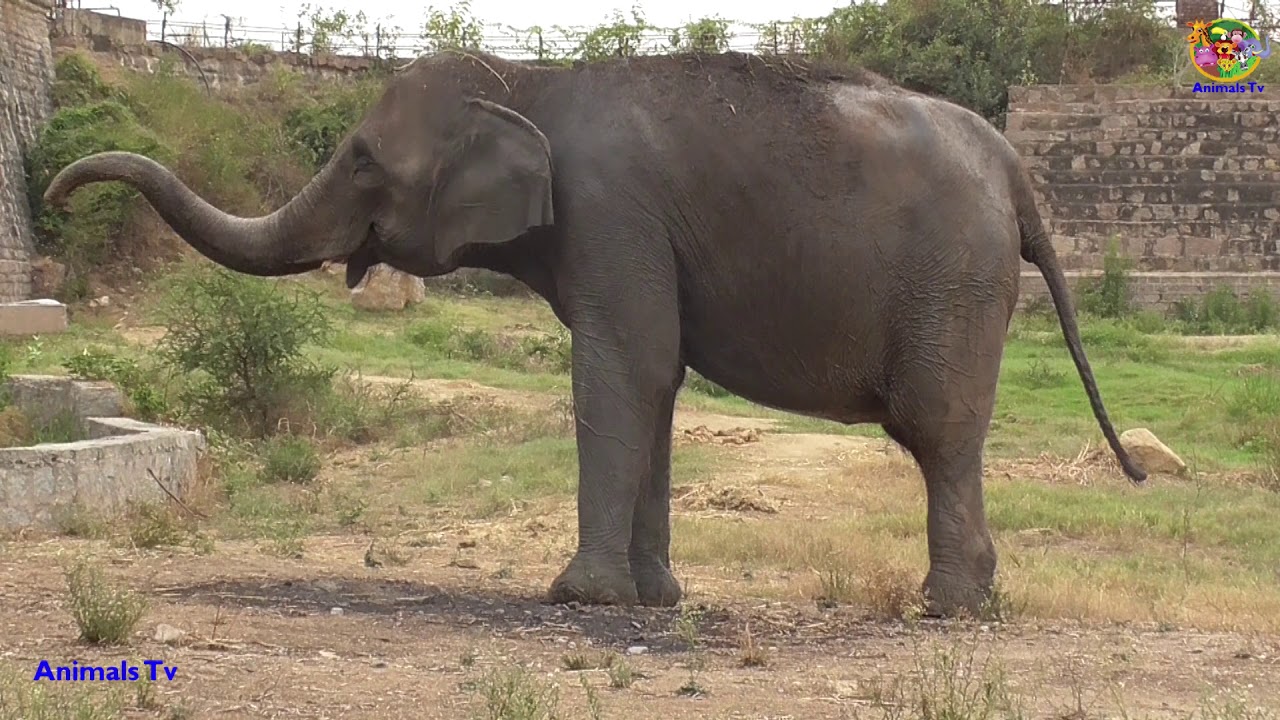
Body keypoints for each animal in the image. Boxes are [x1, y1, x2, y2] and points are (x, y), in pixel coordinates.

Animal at [42, 49, 1147, 617]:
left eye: (360, 159)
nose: (52, 192)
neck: (524, 79)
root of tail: (1017, 172)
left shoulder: (613, 211)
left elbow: (625, 370)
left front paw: (577, 599)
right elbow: (654, 381)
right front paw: (653, 599)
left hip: (952, 283)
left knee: (937, 430)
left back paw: (945, 611)